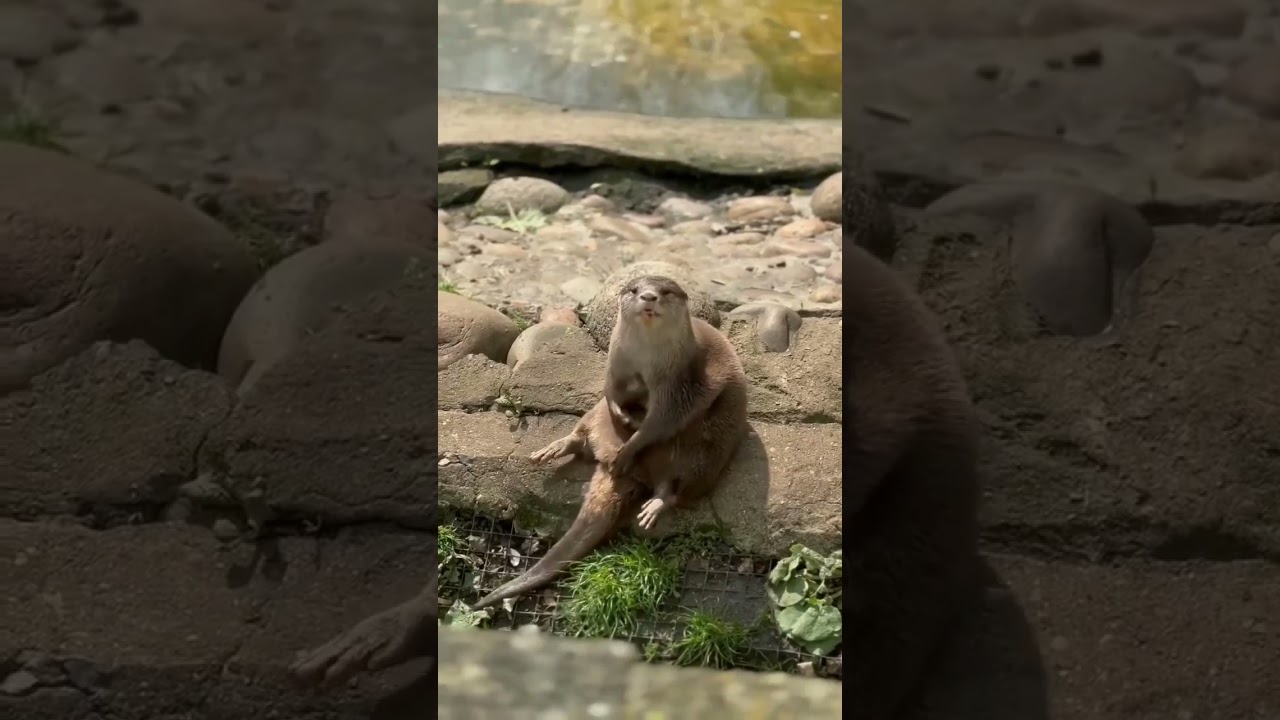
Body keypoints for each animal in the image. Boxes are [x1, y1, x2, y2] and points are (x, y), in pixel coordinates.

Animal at [469, 275, 749, 610]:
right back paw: (556, 448)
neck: (646, 363)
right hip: (596, 415)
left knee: (677, 487)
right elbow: (610, 391)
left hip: (705, 458)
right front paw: (623, 416)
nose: (649, 296)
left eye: (666, 291)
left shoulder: (678, 385)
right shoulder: (616, 364)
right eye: (635, 289)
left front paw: (629, 447)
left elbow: (660, 422)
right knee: (584, 432)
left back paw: (653, 501)